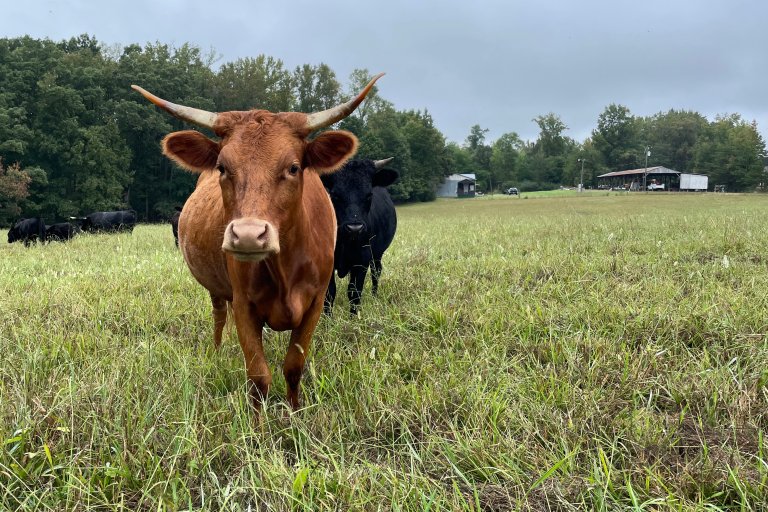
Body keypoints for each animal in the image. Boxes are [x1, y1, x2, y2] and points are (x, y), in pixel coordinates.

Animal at [133, 73, 384, 415]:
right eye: (223, 167)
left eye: (293, 167)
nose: (249, 235)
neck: (284, 269)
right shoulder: (244, 305)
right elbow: (258, 375)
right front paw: (258, 424)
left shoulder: (316, 302)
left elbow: (294, 366)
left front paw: (294, 413)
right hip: (216, 289)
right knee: (218, 316)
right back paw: (217, 353)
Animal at [322, 158, 398, 316]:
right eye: (335, 195)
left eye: (369, 195)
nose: (354, 228)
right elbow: (329, 293)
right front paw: (328, 318)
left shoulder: (362, 261)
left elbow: (354, 292)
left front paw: (353, 317)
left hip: (377, 254)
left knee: (376, 272)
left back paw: (375, 296)